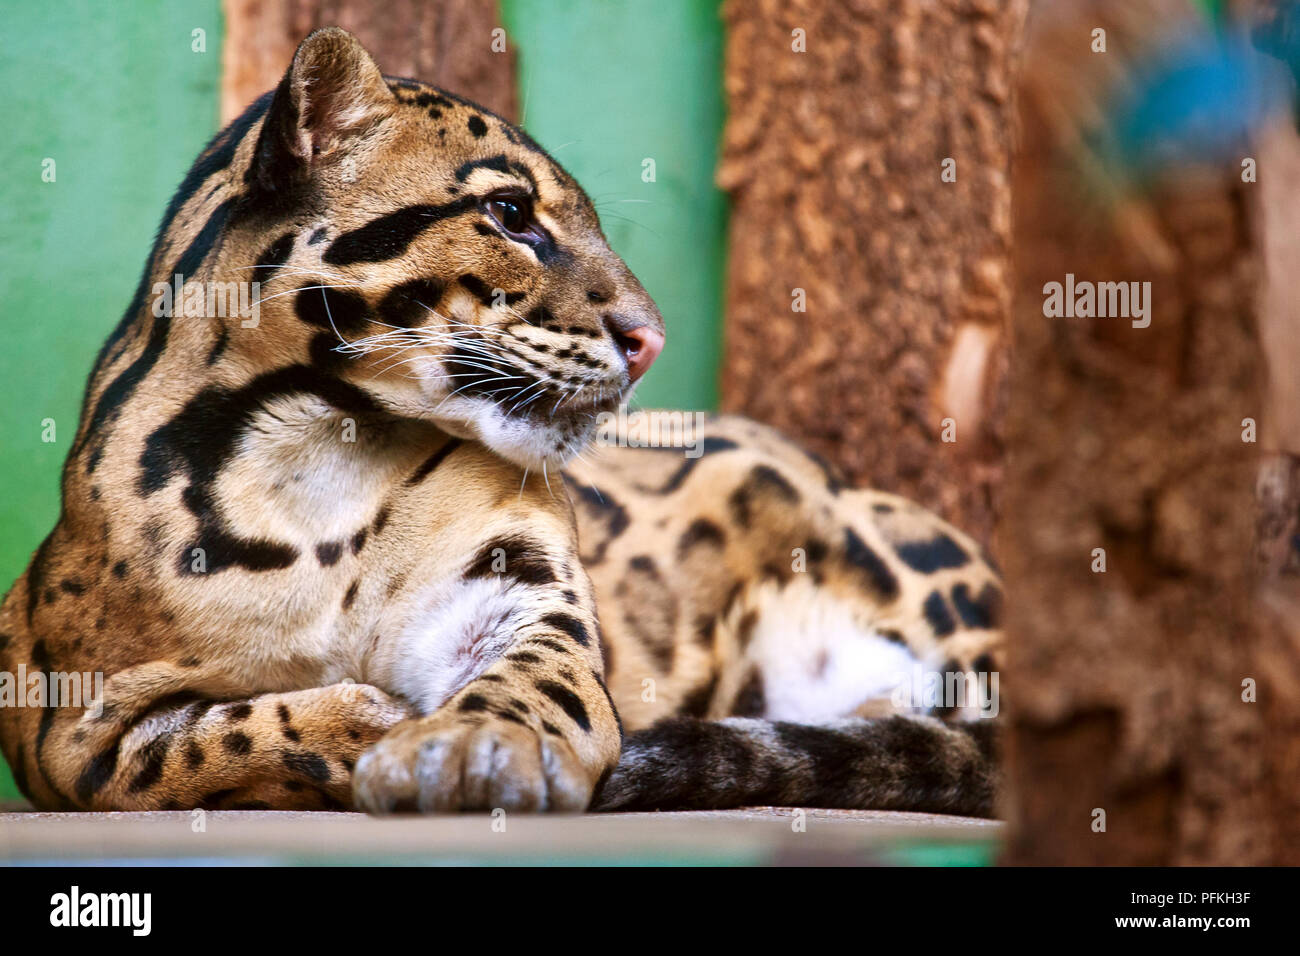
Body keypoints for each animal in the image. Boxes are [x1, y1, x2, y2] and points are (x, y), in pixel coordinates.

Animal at [0, 28, 1003, 816]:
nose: (651, 339)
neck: (314, 450)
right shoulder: (57, 721)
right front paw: (370, 719)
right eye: (511, 213)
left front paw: (469, 748)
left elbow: (538, 676)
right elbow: (197, 750)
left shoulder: (514, 578)